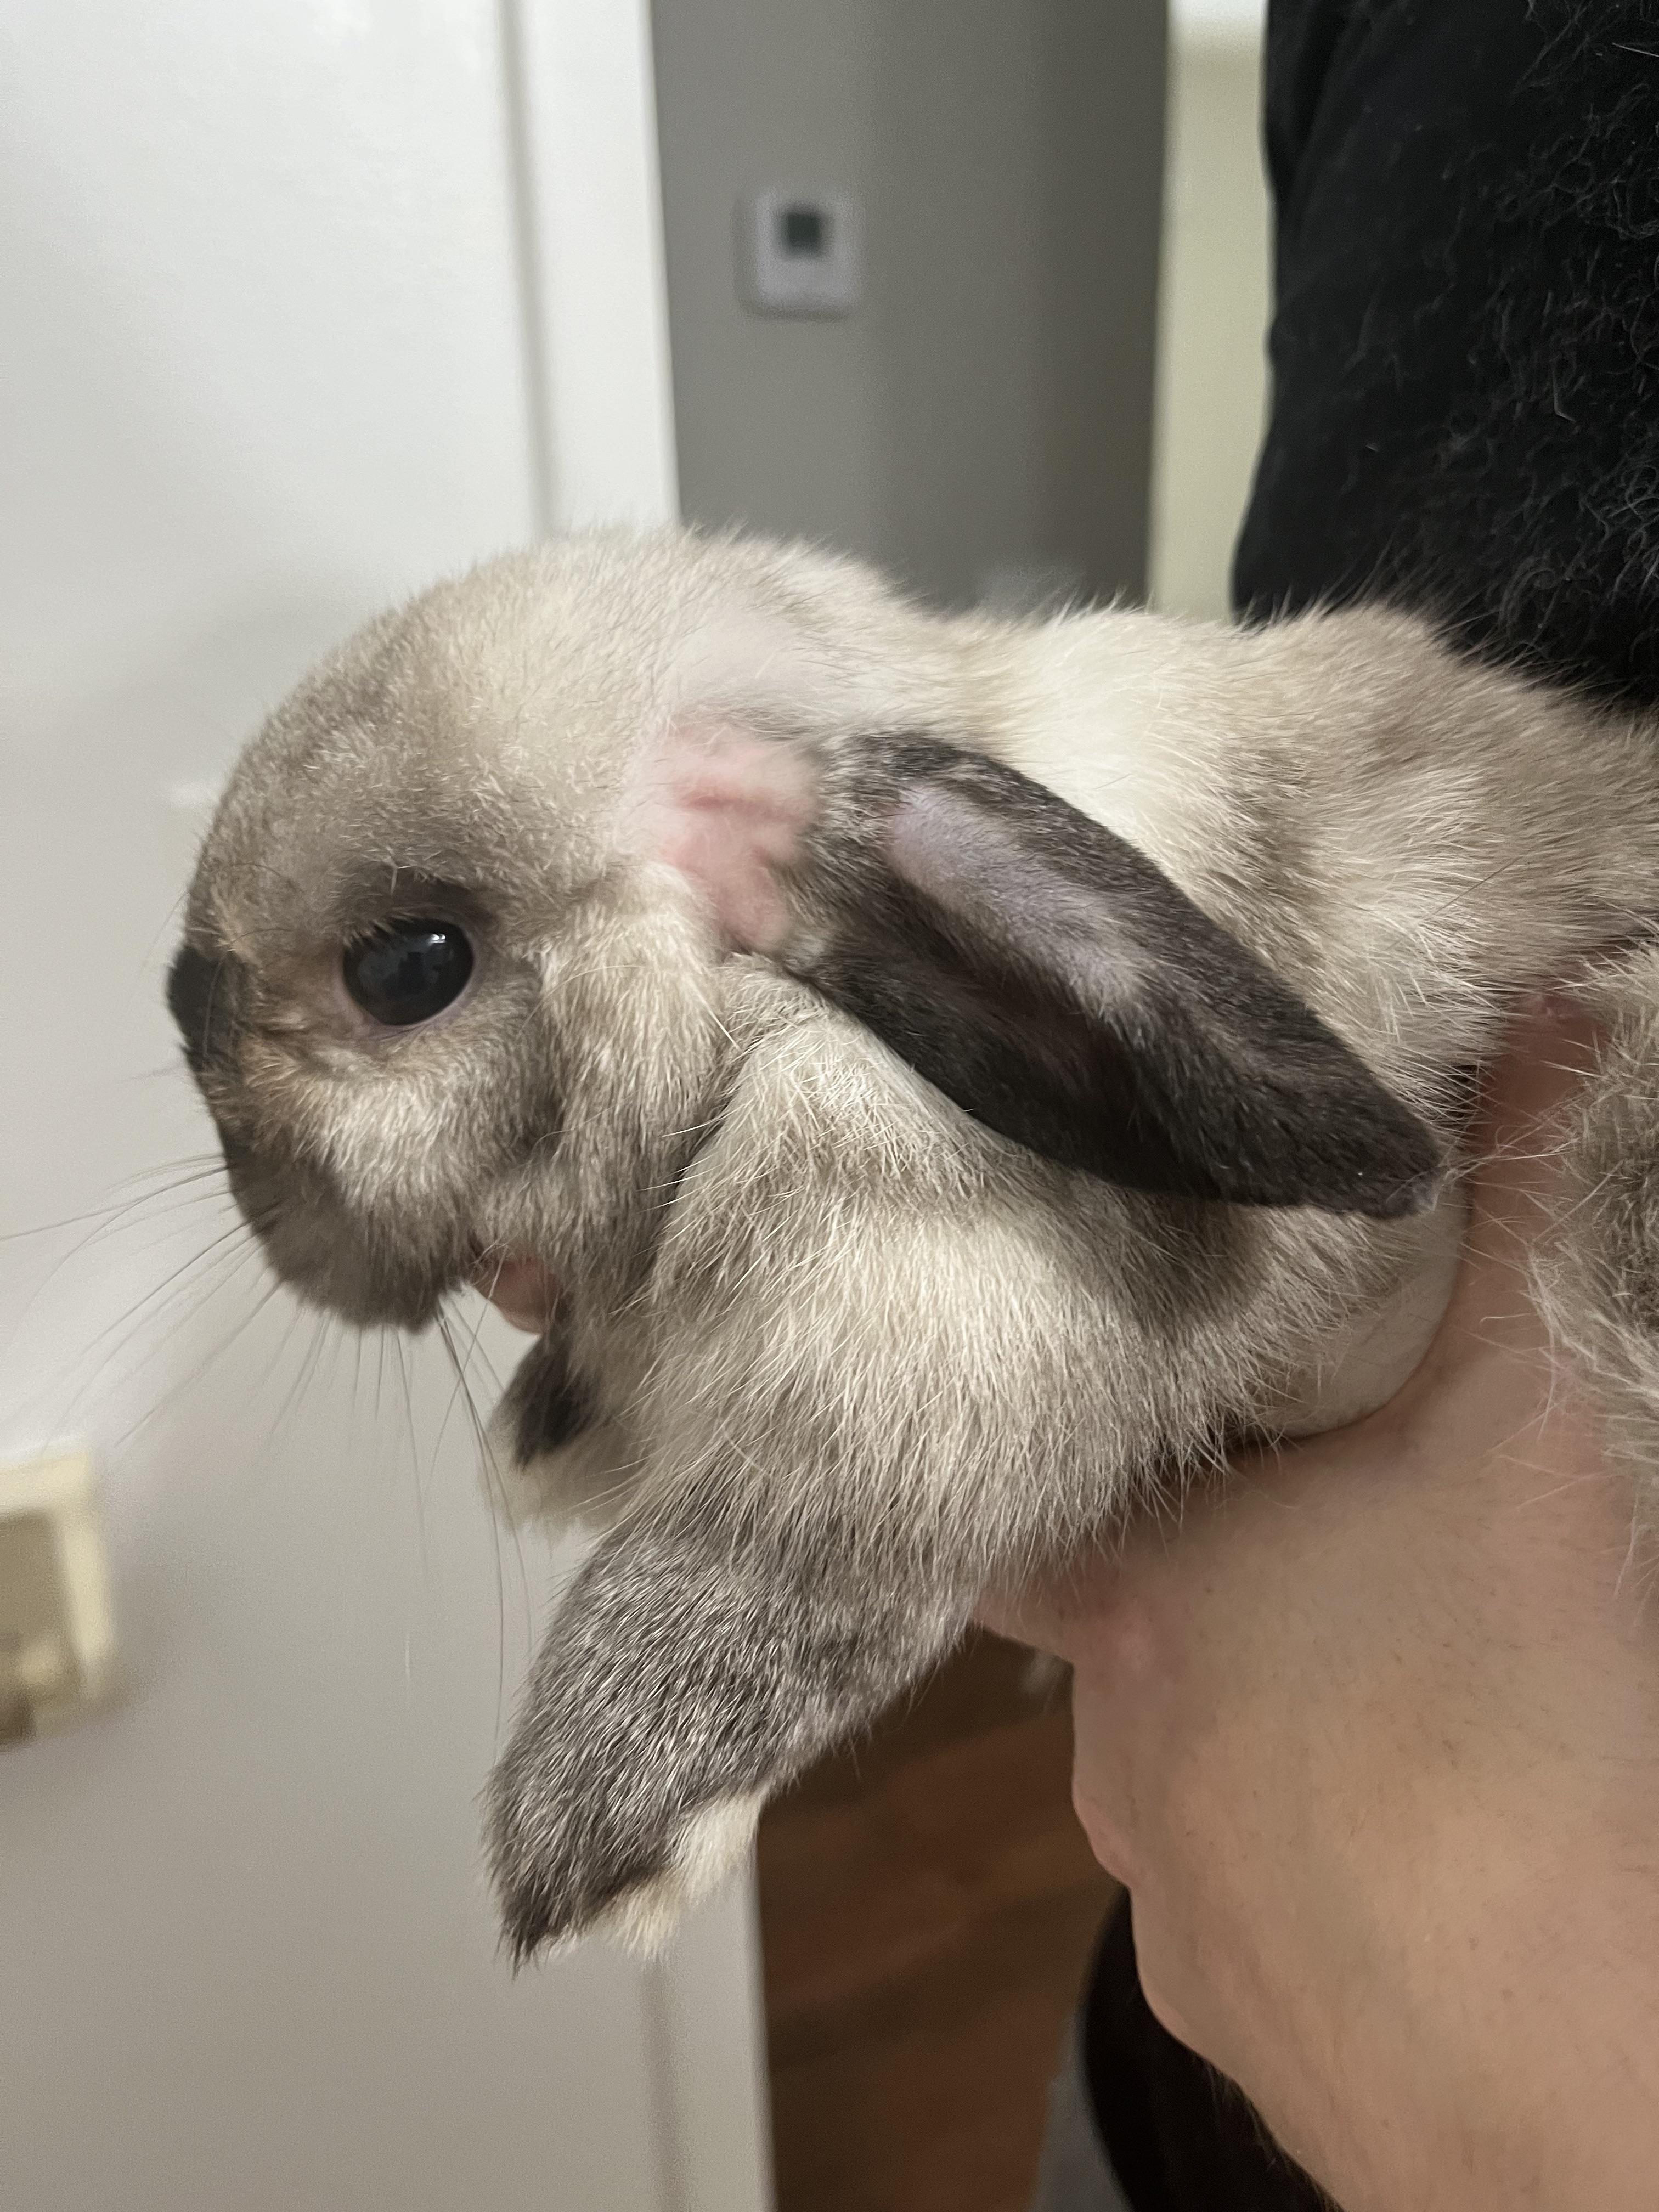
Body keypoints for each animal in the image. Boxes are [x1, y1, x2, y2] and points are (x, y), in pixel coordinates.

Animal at [167, 525, 1659, 1959]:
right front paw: (549, 1431)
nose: (258, 1203)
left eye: (408, 968)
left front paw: (599, 1829)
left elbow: (798, 1536)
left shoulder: (931, 1304)